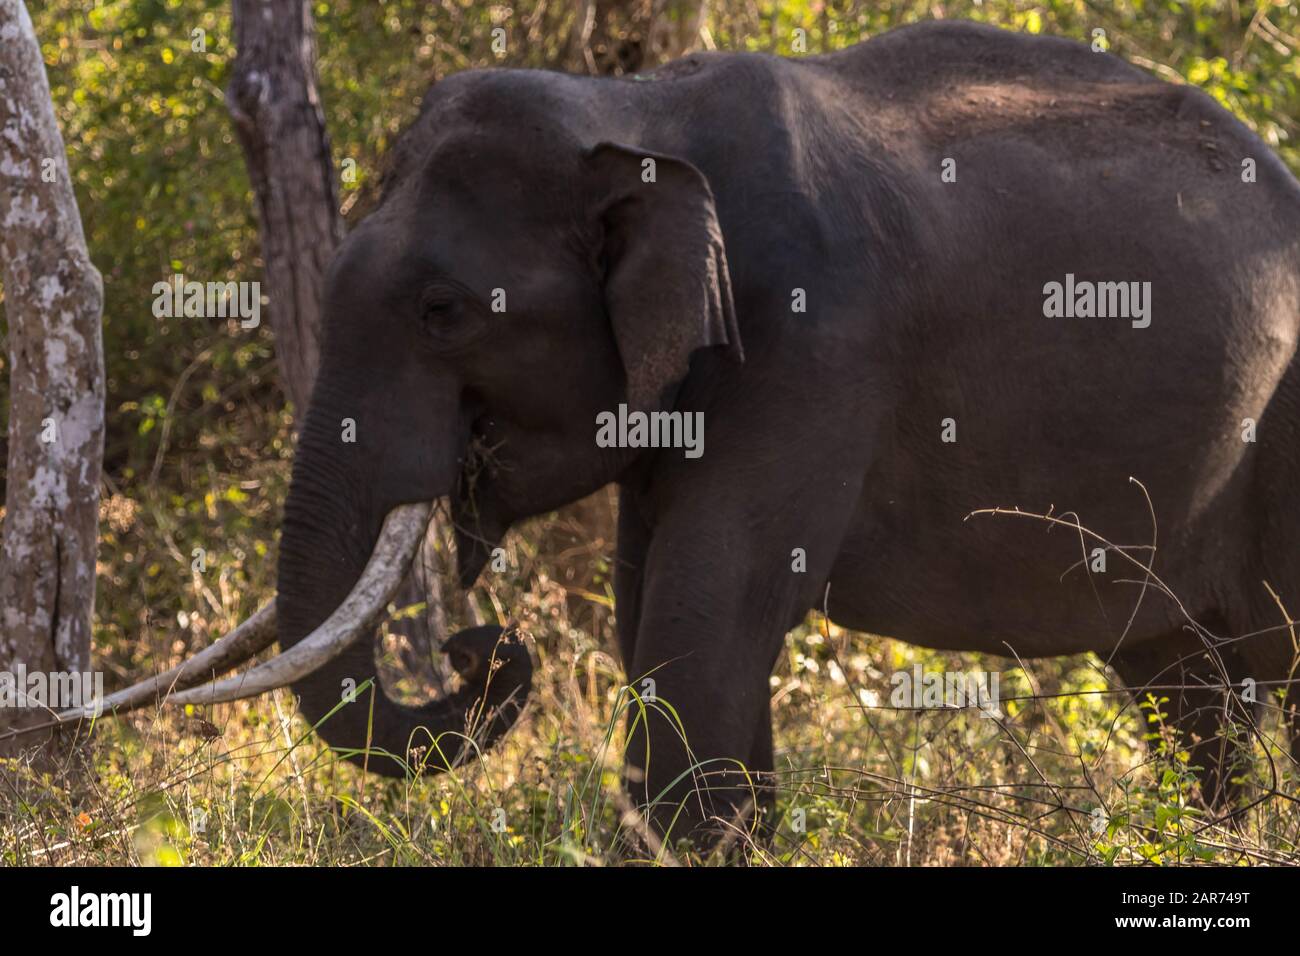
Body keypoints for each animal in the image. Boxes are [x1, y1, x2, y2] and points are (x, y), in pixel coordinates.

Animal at [83, 19, 1300, 843]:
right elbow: (649, 611)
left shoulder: (814, 342)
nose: (484, 648)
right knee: (1187, 688)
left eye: (441, 311)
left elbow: (707, 609)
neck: (637, 114)